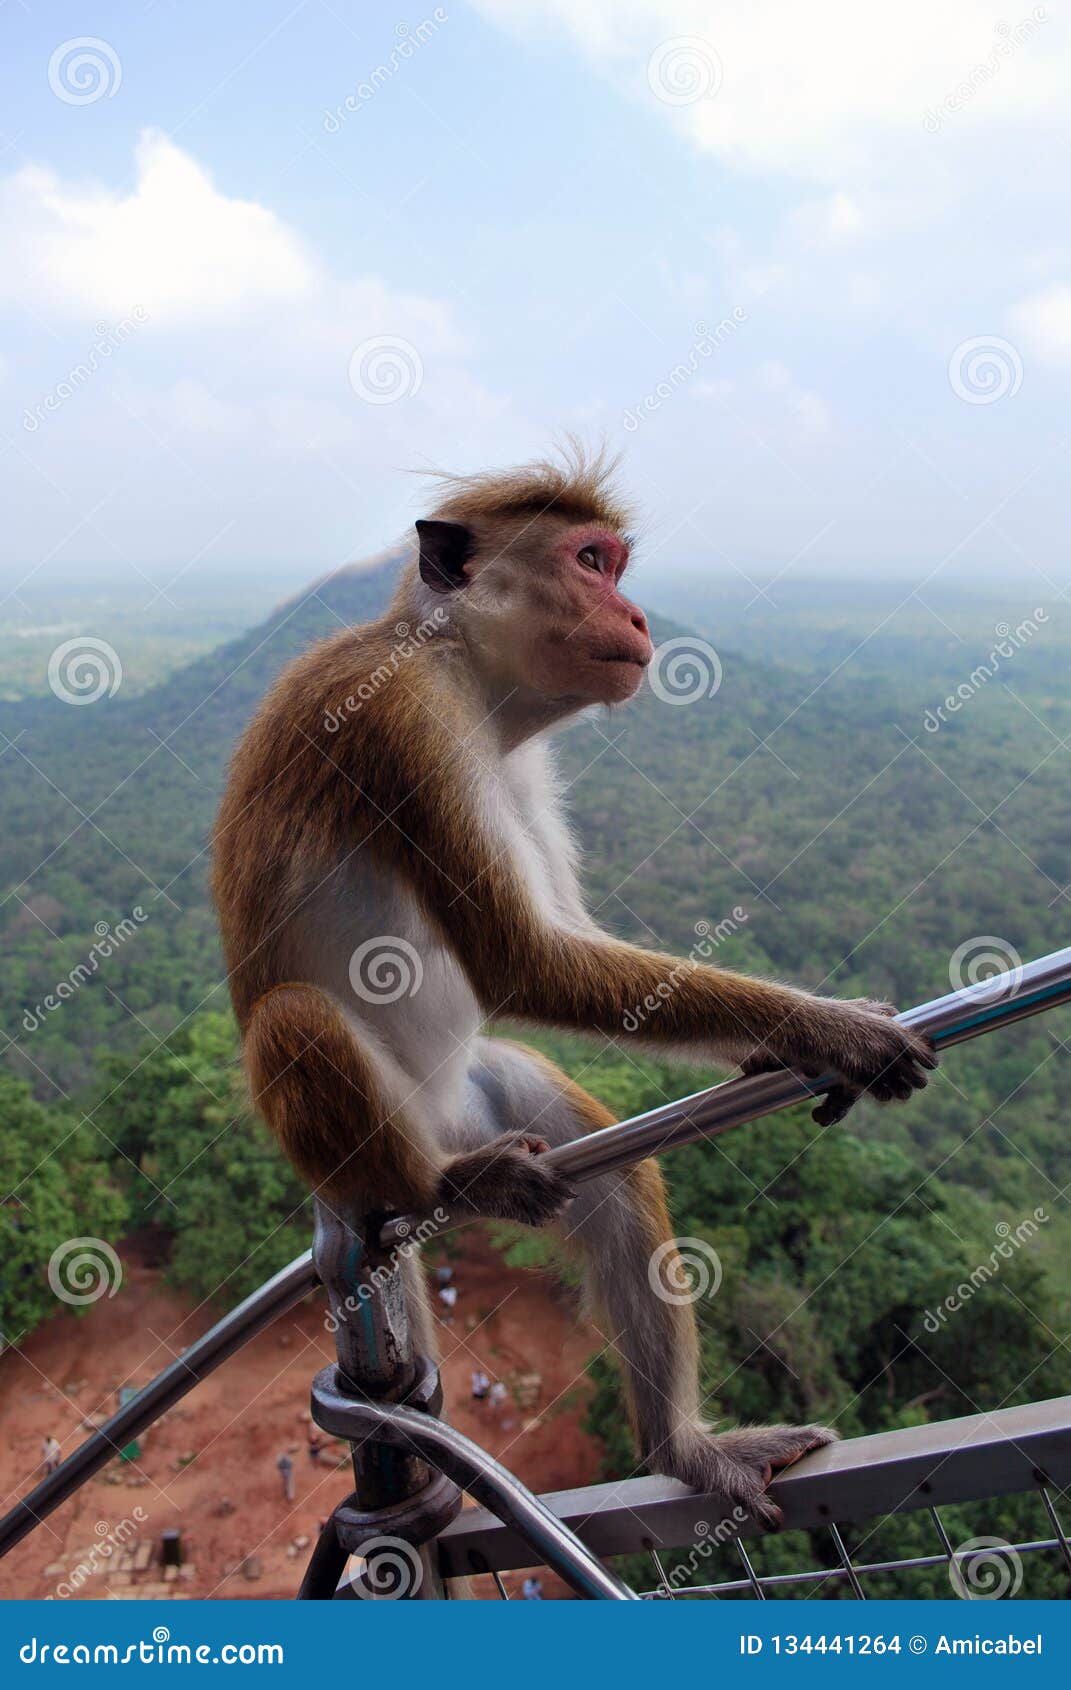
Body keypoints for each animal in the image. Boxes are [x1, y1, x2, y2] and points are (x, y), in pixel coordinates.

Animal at [211, 446, 937, 1527]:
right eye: (591, 562)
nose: (635, 617)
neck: (469, 683)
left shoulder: (524, 769)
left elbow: (570, 941)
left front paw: (780, 1043)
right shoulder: (406, 722)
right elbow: (524, 956)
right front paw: (827, 1029)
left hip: (481, 1098)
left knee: (615, 1185)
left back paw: (683, 1447)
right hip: (382, 1145)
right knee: (293, 1023)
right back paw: (438, 1186)